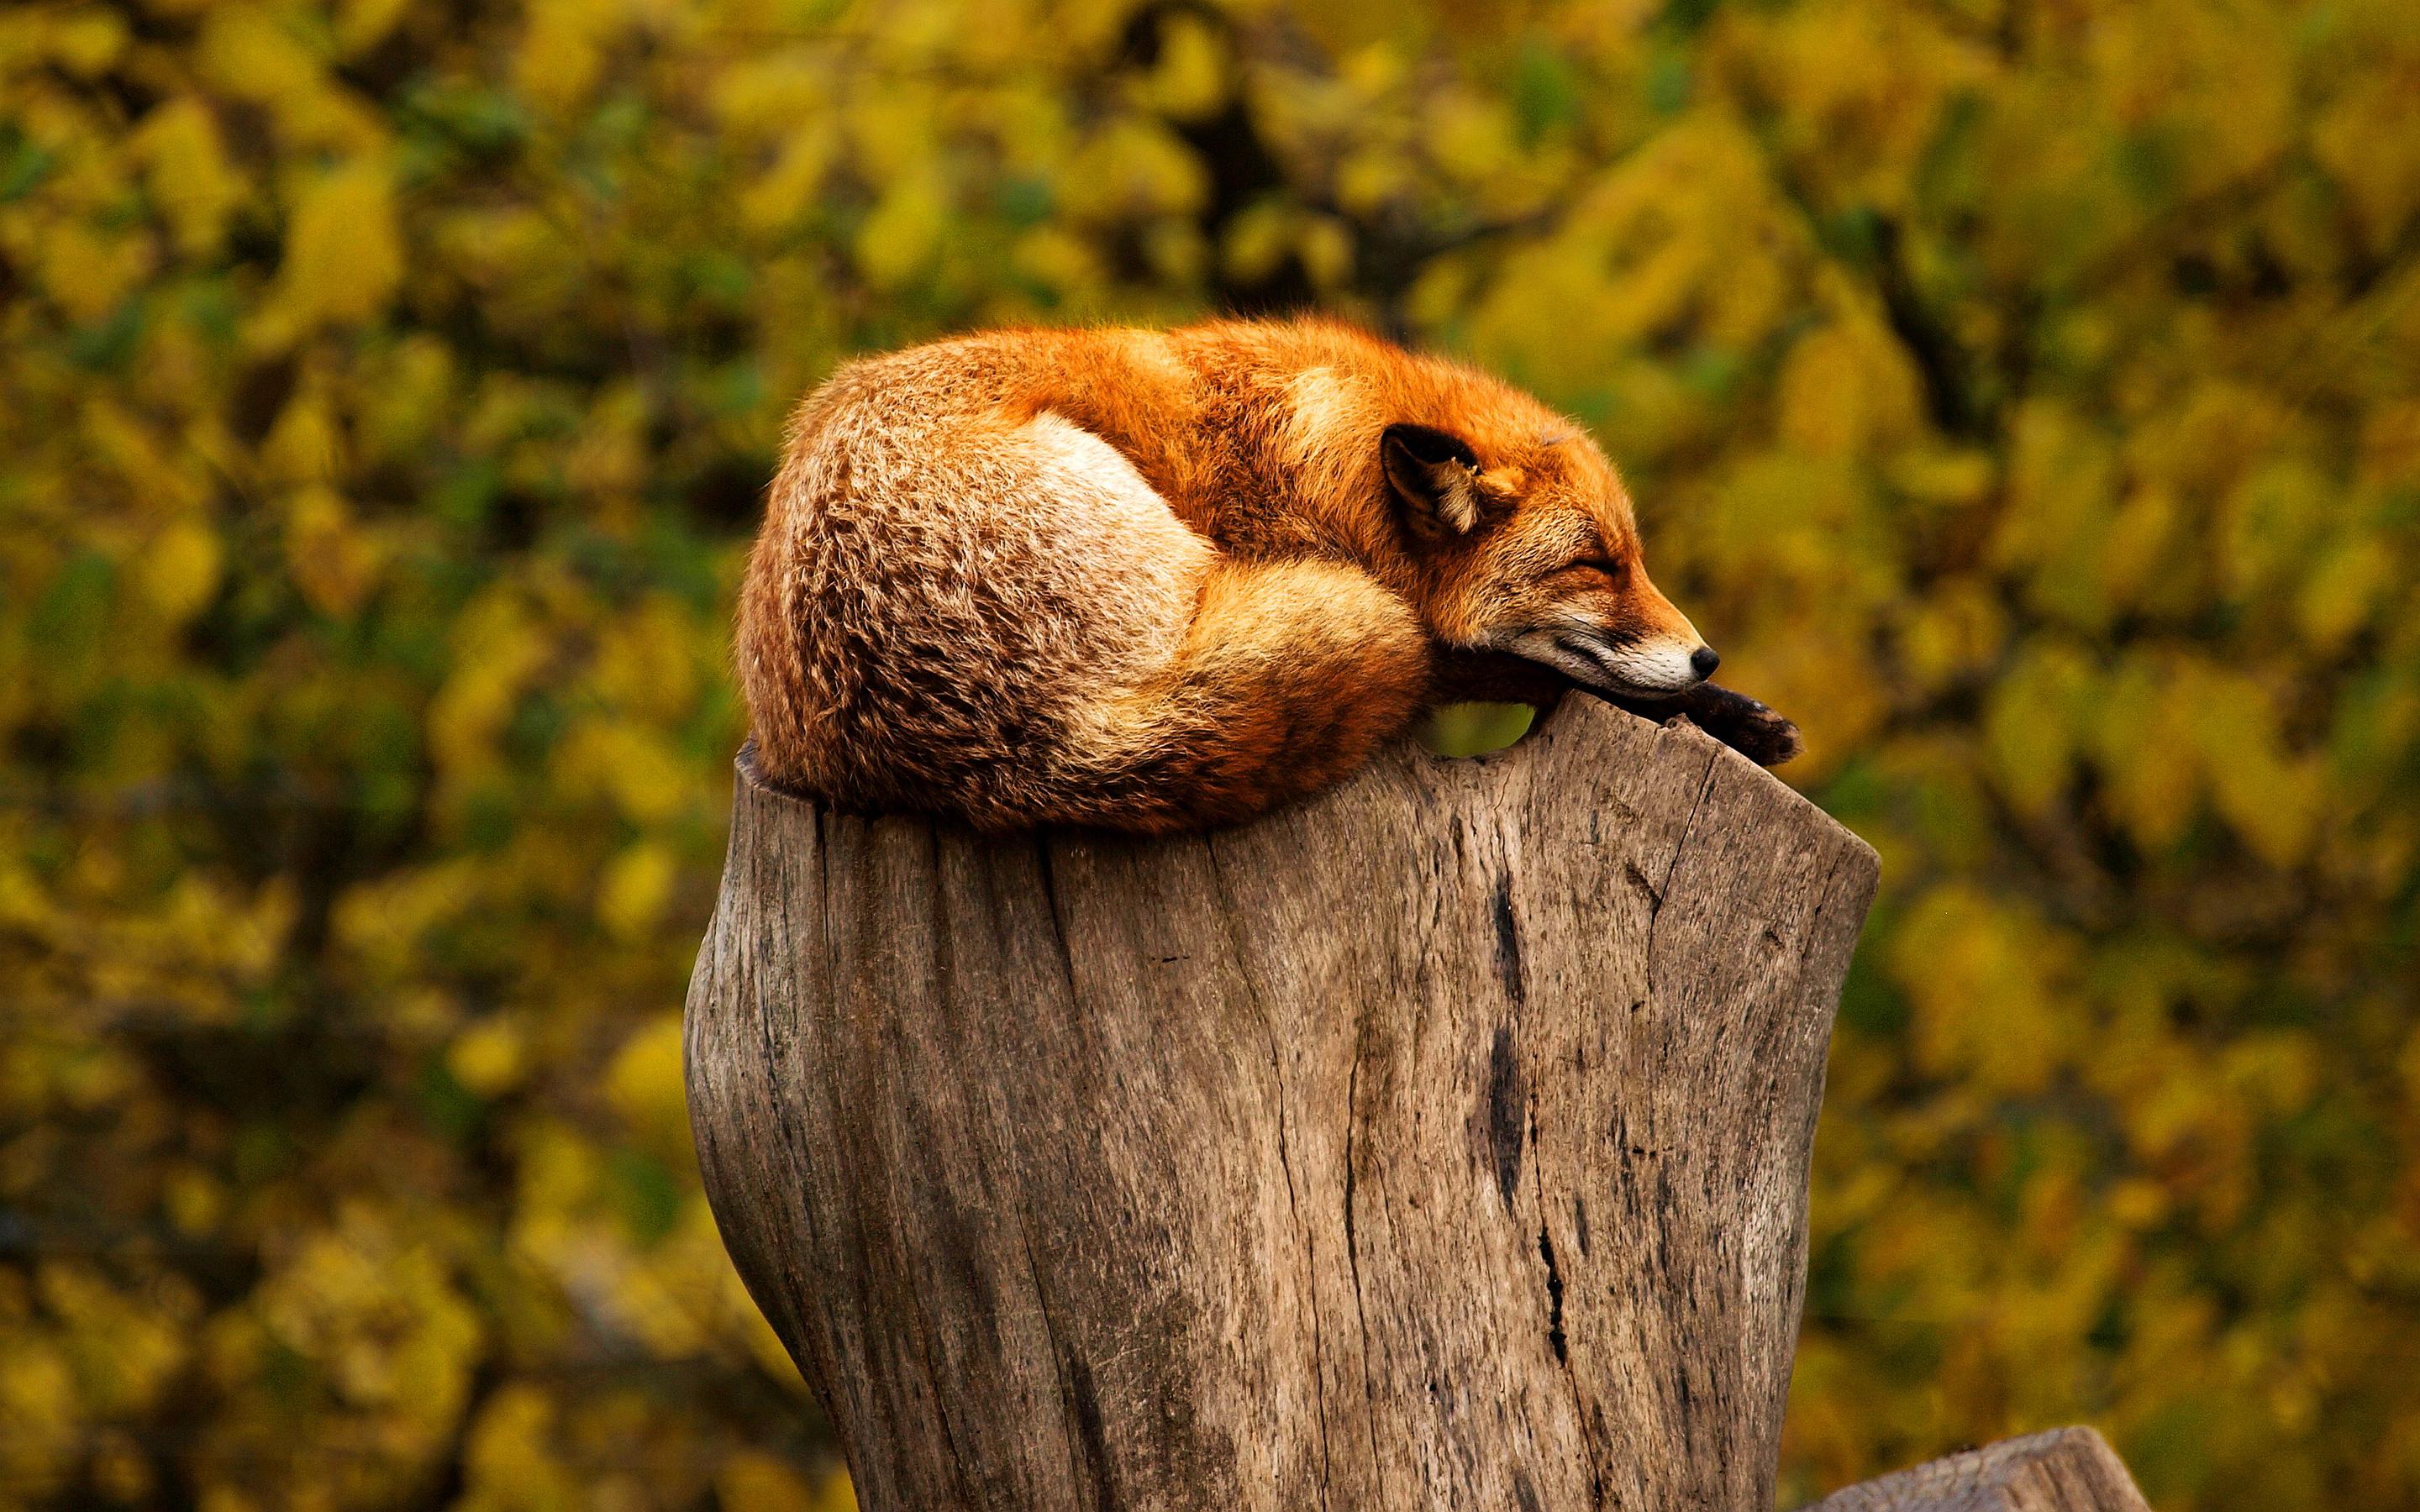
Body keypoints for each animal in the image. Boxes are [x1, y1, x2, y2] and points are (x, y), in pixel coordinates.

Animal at [736, 318, 1798, 835]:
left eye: (1636, 559)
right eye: (1593, 565)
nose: (1706, 657)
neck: (1320, 467)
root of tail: (1034, 744)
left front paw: (1733, 712)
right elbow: (1517, 668)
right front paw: (1721, 712)